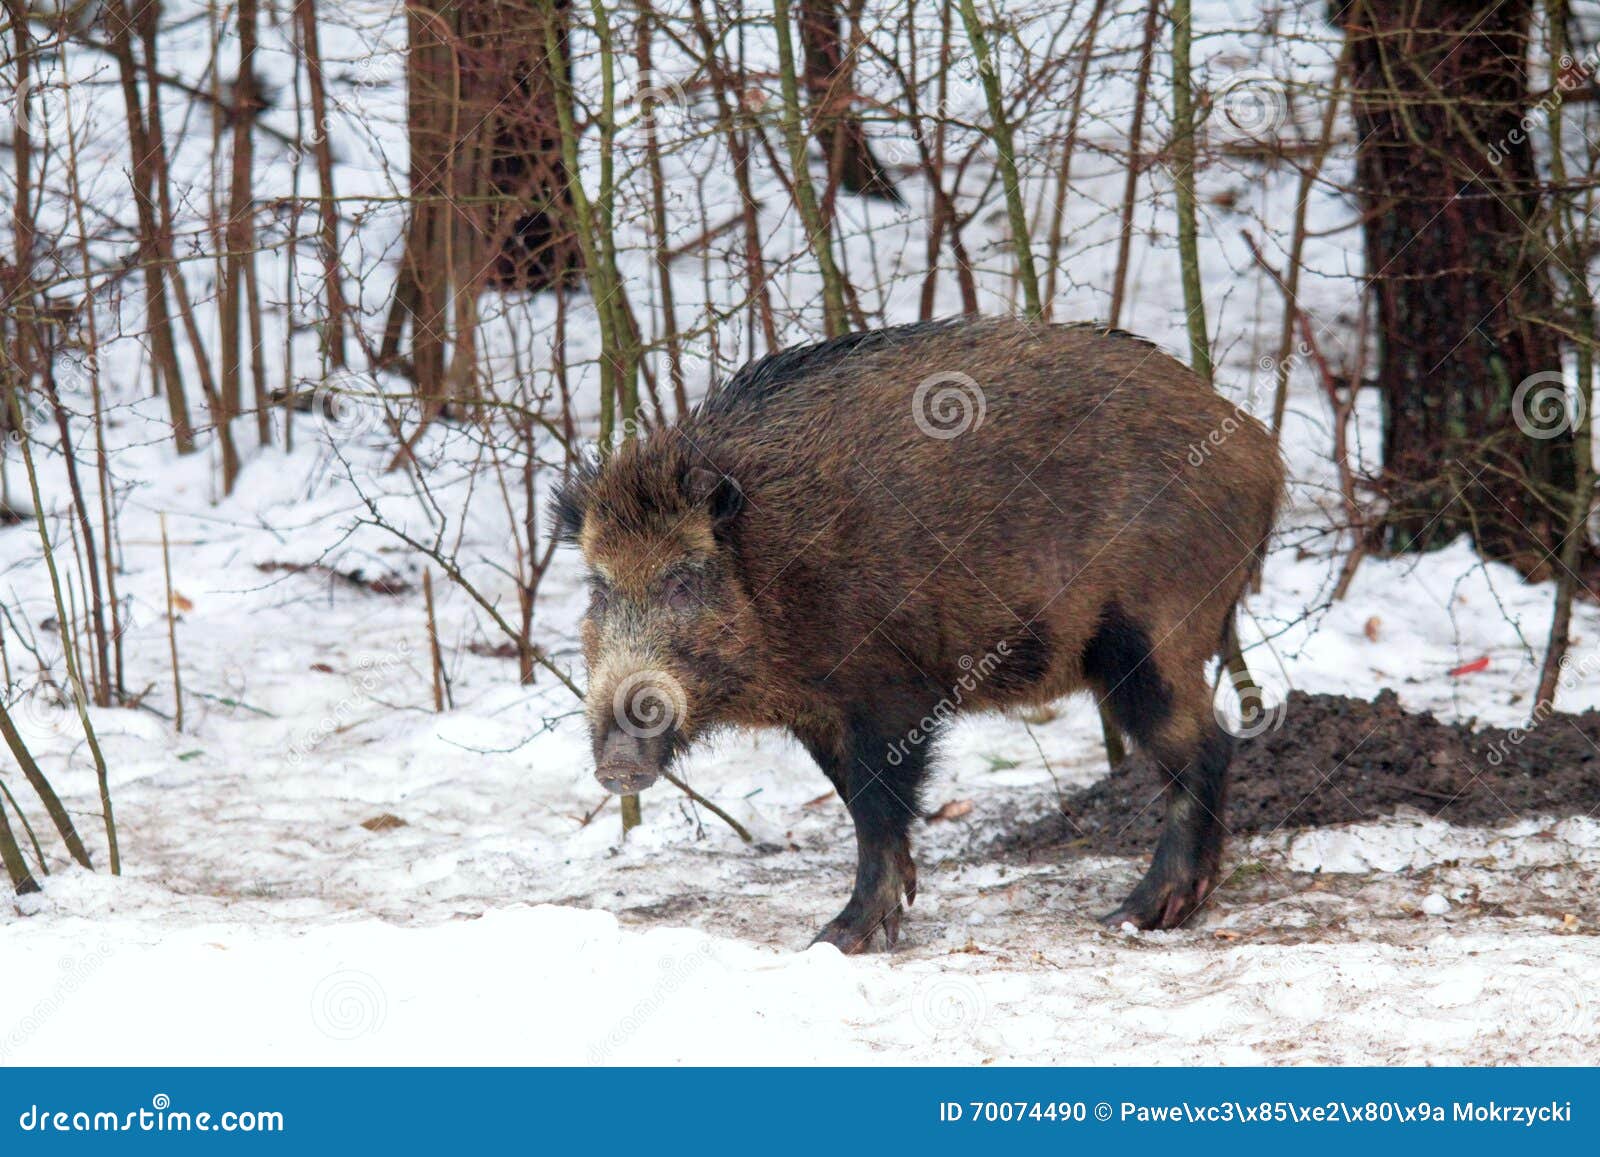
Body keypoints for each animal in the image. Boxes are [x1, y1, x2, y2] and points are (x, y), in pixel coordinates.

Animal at [553, 316, 1282, 953]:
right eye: (599, 587)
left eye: (683, 581)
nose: (617, 763)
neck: (773, 574)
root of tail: (1261, 452)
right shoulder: (818, 712)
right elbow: (854, 801)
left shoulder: (890, 689)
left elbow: (878, 805)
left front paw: (837, 939)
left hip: (1152, 631)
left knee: (1205, 746)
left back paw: (1135, 914)